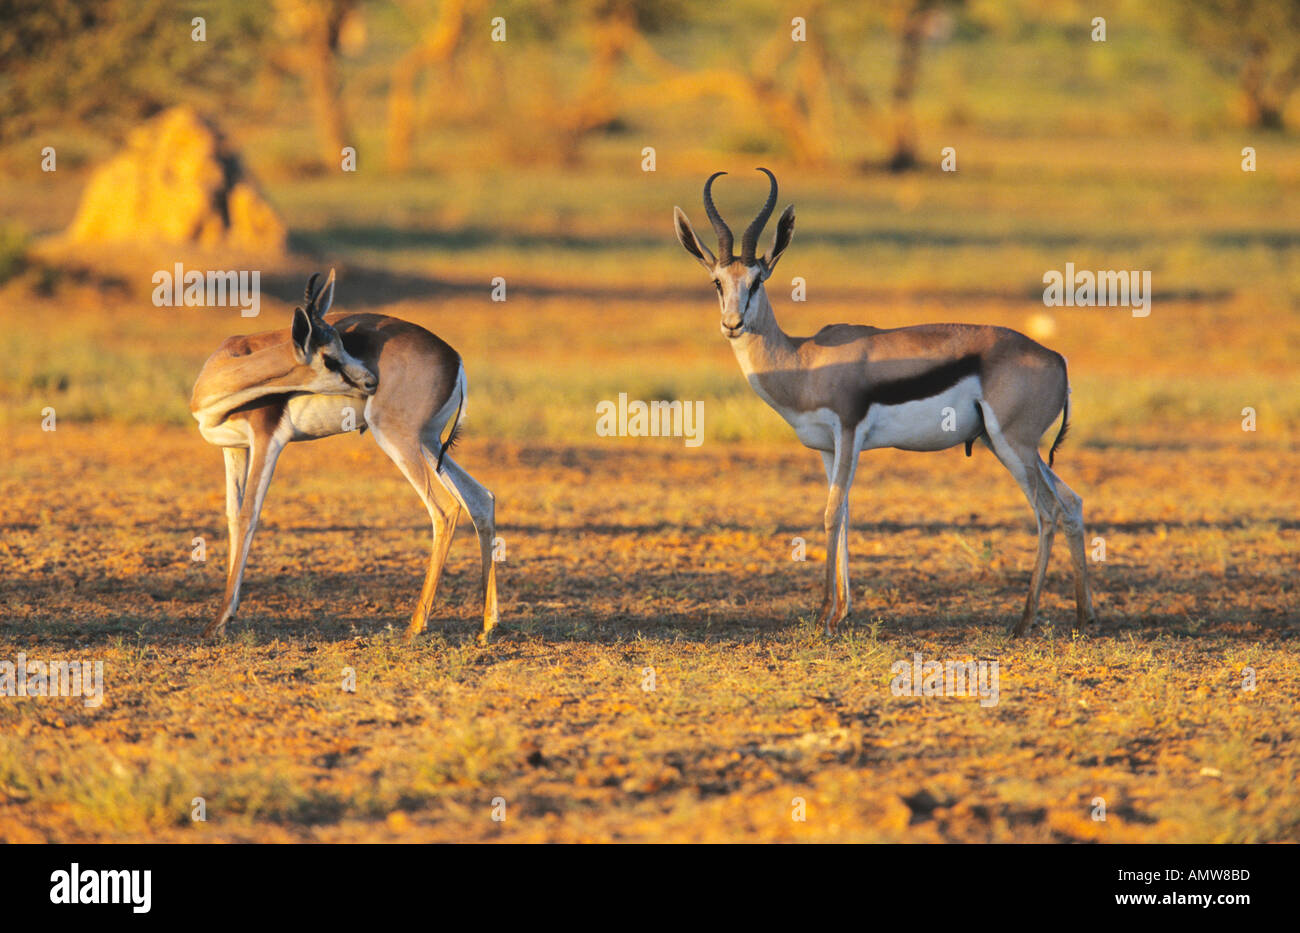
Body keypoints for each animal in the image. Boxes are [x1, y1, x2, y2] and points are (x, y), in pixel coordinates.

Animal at [190, 270, 499, 642]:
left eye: (344, 345)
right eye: (330, 356)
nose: (370, 381)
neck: (224, 366)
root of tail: (455, 360)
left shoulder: (267, 441)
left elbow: (250, 514)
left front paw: (221, 619)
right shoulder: (234, 448)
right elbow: (233, 517)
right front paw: (220, 618)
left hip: (398, 438)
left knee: (445, 508)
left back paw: (414, 626)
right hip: (426, 442)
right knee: (480, 498)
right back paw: (487, 626)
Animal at [674, 169, 1097, 637]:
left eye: (757, 281)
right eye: (717, 282)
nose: (732, 324)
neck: (803, 360)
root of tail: (1056, 358)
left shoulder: (849, 431)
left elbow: (831, 513)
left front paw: (823, 615)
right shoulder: (828, 447)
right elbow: (844, 512)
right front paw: (842, 612)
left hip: (1013, 445)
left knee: (1047, 511)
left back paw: (1025, 620)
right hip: (1010, 444)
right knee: (1072, 503)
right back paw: (1084, 616)